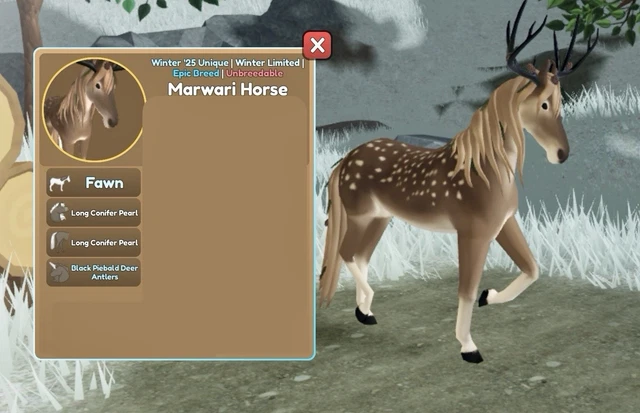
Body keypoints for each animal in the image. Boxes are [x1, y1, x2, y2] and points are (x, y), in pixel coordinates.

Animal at [318, 0, 598, 363]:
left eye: (562, 103)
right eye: (543, 103)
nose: (561, 154)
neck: (489, 169)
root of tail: (346, 160)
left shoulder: (503, 223)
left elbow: (531, 269)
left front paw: (488, 296)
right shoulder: (472, 232)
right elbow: (465, 288)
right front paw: (469, 347)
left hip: (379, 218)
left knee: (360, 256)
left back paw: (365, 313)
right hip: (360, 215)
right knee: (347, 253)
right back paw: (368, 305)